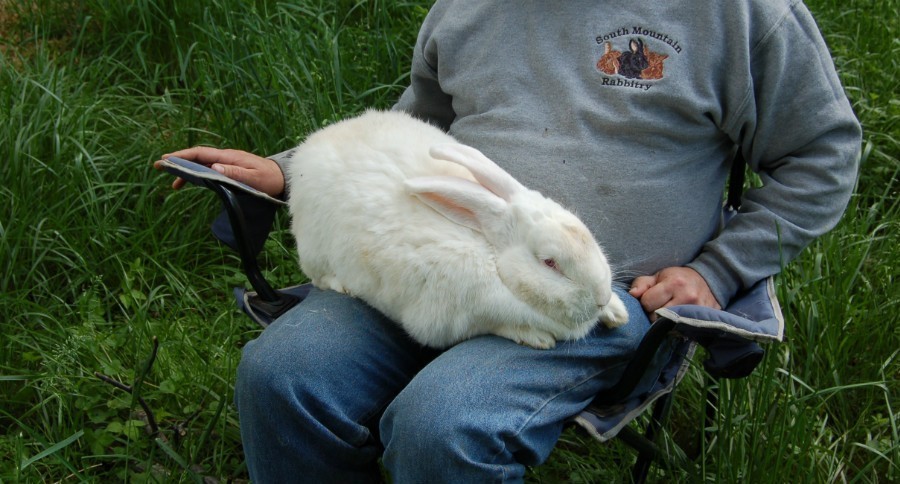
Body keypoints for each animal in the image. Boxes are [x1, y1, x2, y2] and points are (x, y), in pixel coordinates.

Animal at [285, 110, 628, 349]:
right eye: (550, 263)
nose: (600, 297)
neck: (494, 258)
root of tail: (308, 147)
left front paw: (616, 312)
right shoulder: (447, 319)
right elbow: (496, 326)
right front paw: (535, 337)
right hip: (315, 250)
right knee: (319, 276)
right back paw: (341, 285)